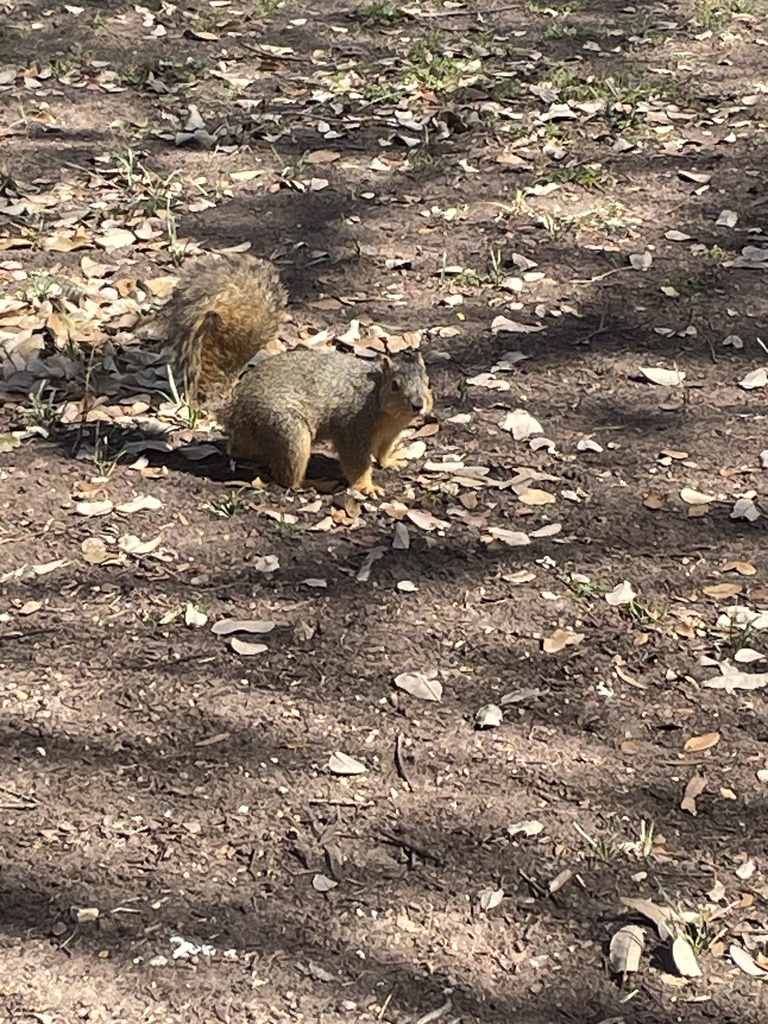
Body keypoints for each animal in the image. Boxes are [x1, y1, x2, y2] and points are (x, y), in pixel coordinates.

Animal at [162, 252, 433, 496]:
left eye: (428, 382)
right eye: (395, 385)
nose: (418, 405)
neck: (384, 409)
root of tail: (234, 405)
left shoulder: (388, 435)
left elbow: (383, 452)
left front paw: (392, 460)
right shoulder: (354, 428)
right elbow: (356, 462)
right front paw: (366, 487)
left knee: (240, 449)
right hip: (289, 431)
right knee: (287, 479)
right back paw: (312, 483)